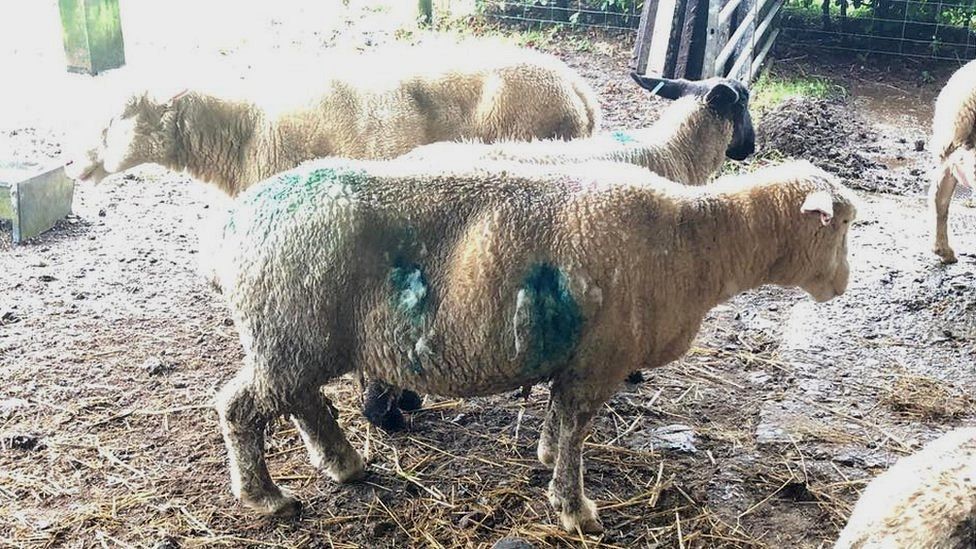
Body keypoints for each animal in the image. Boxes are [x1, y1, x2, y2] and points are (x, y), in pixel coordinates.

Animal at [208, 156, 856, 533]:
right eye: (844, 225)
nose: (845, 285)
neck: (698, 240)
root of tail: (237, 221)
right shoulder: (600, 361)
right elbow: (577, 431)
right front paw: (573, 509)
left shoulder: (579, 358)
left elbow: (559, 418)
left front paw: (544, 457)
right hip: (289, 330)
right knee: (241, 407)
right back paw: (267, 497)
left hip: (294, 338)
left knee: (301, 401)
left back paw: (343, 464)